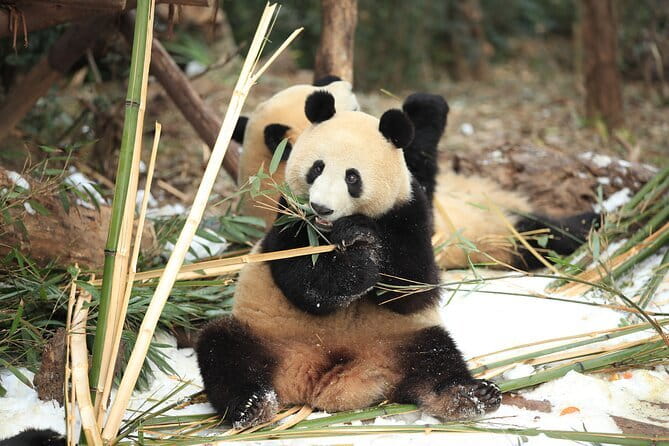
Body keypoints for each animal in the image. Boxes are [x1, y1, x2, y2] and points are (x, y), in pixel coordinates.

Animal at [196, 91, 502, 429]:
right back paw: (250, 404)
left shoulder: (409, 213)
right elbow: (304, 282)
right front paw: (358, 259)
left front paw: (367, 243)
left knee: (437, 357)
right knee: (223, 349)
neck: (332, 229)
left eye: (352, 177)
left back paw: (469, 397)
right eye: (316, 168)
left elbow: (415, 288)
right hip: (264, 335)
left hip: (403, 339)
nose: (321, 207)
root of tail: (323, 379)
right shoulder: (289, 215)